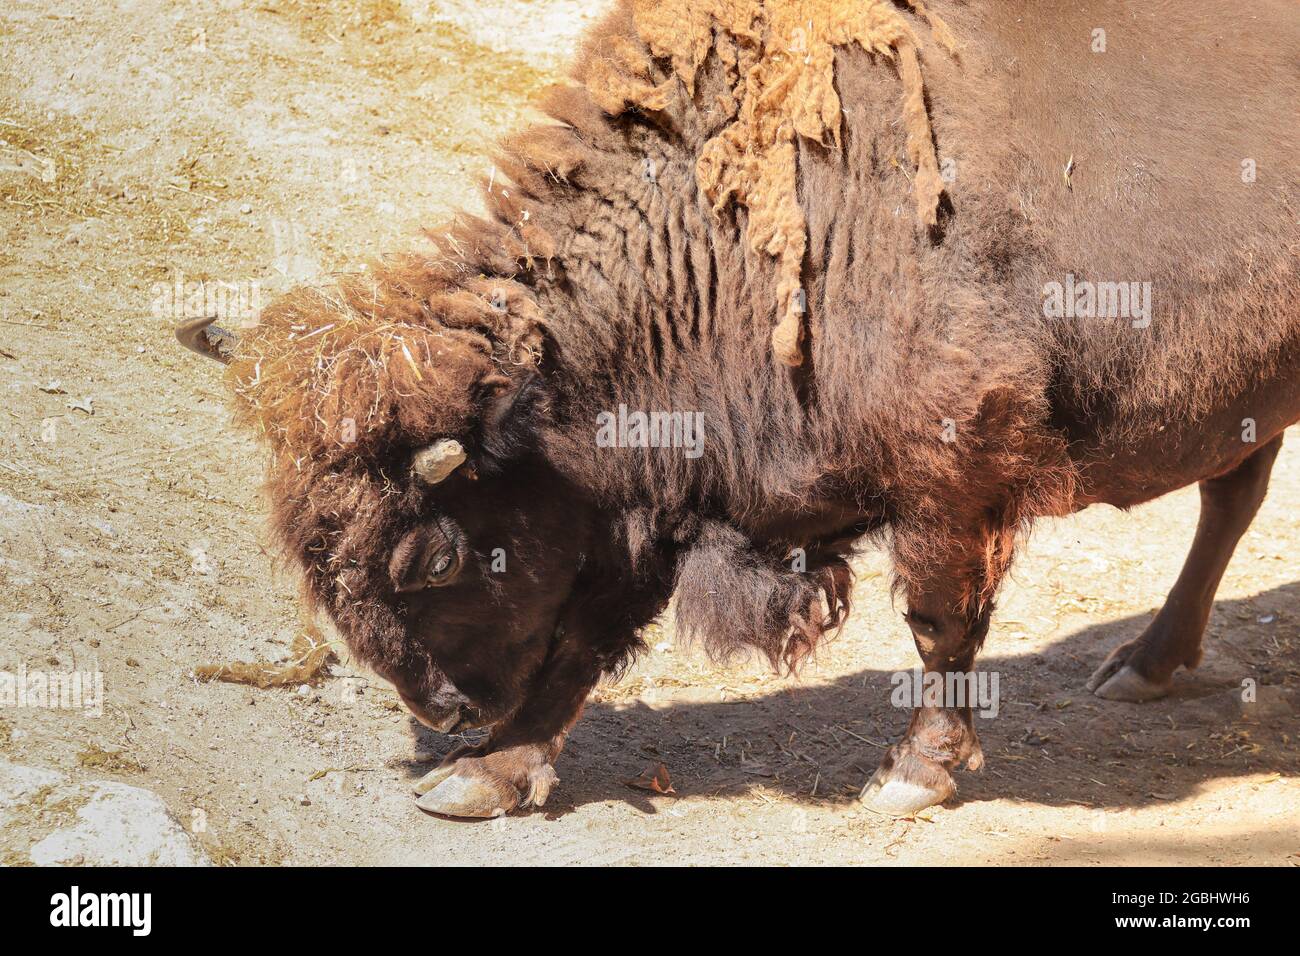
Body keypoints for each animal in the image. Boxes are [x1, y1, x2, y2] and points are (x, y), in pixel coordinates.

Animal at [178, 0, 1299, 818]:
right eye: (317, 570)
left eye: (436, 557)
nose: (449, 708)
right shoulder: (647, 502)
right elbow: (586, 636)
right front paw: (484, 775)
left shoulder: (952, 475)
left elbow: (940, 623)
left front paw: (911, 775)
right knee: (1232, 496)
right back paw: (1145, 663)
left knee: (1228, 499)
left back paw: (1141, 665)